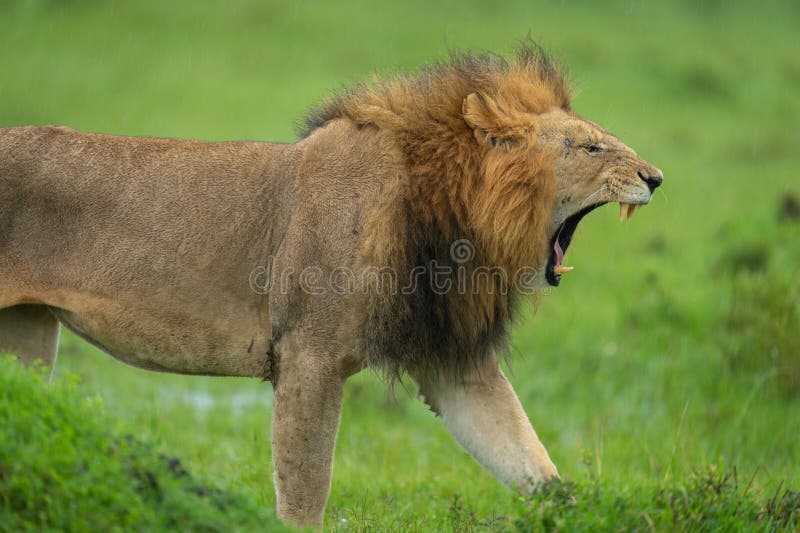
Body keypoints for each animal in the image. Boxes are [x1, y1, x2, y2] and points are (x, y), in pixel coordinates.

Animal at [0, 43, 662, 528]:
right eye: (591, 146)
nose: (655, 177)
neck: (455, 221)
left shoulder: (451, 361)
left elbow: (526, 456)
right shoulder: (307, 355)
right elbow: (304, 487)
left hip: (27, 334)